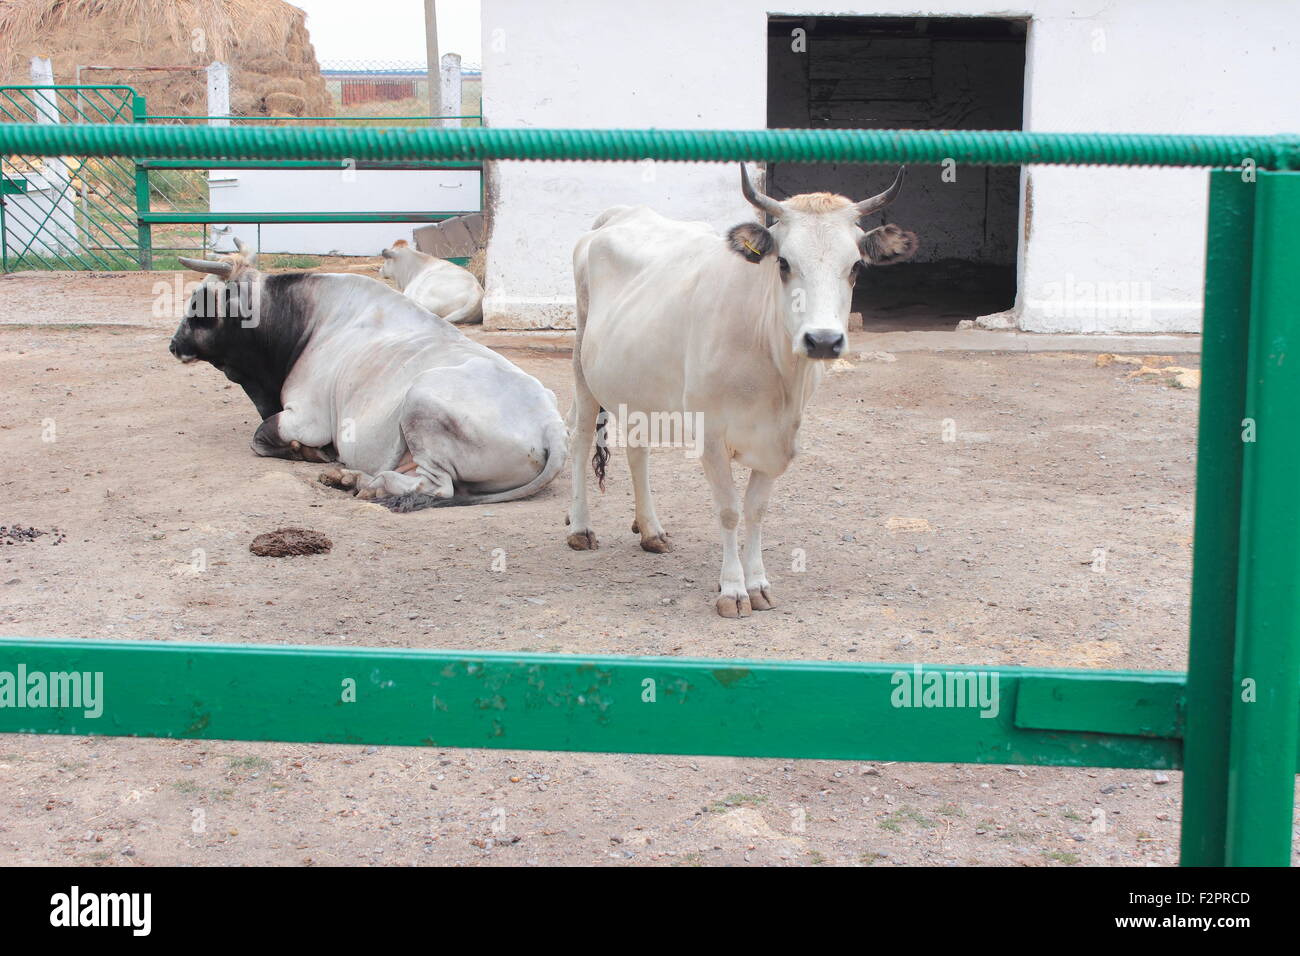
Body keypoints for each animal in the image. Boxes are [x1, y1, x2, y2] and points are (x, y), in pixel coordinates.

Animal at [169, 240, 566, 509]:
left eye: (199, 300)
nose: (174, 345)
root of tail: (549, 423)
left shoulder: (307, 420)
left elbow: (262, 438)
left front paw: (310, 453)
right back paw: (349, 477)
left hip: (420, 400)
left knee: (436, 487)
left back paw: (365, 482)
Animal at [566, 165, 918, 617]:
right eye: (783, 262)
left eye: (856, 266)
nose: (823, 340)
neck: (774, 374)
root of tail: (620, 213)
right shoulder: (711, 435)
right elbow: (730, 511)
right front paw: (732, 590)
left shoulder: (780, 438)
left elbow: (756, 510)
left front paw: (758, 583)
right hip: (582, 362)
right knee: (579, 436)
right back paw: (580, 527)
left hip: (636, 382)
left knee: (637, 450)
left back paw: (651, 530)